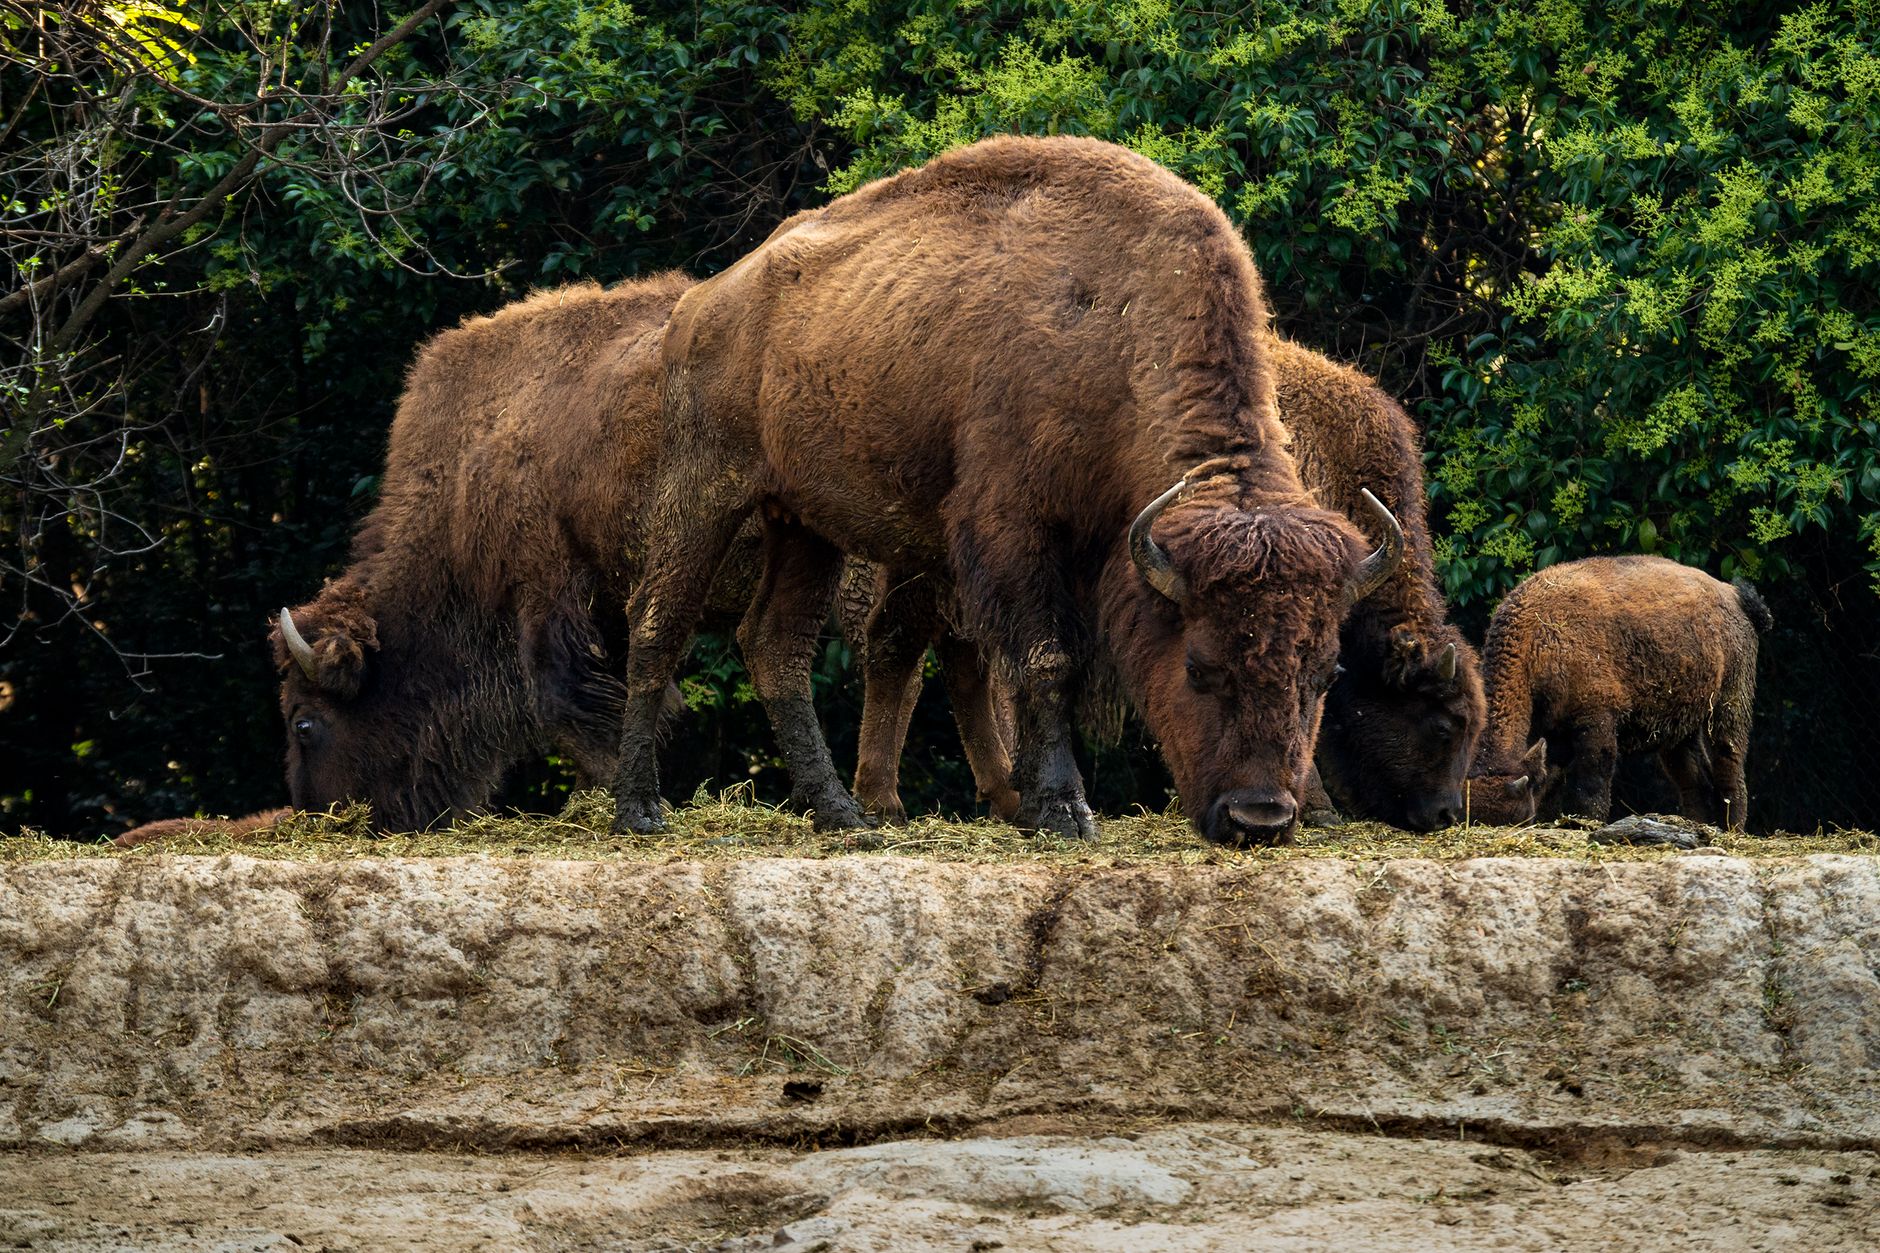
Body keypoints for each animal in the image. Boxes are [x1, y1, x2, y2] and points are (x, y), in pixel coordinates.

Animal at [611, 135, 1401, 845]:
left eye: (1324, 672)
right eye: (1199, 666)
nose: (1259, 817)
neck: (1118, 337)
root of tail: (703, 301)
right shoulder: (1015, 527)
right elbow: (1045, 661)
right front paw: (1062, 812)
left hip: (804, 522)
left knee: (776, 642)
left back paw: (842, 815)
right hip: (706, 489)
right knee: (656, 620)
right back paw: (639, 809)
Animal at [1466, 555, 1770, 829]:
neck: (1538, 637)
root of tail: (1733, 596)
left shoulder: (1596, 719)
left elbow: (1593, 777)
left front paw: (1587, 821)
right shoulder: (1553, 732)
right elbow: (1551, 778)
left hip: (1729, 704)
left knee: (1729, 762)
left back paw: (1733, 827)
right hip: (1680, 729)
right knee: (1693, 776)